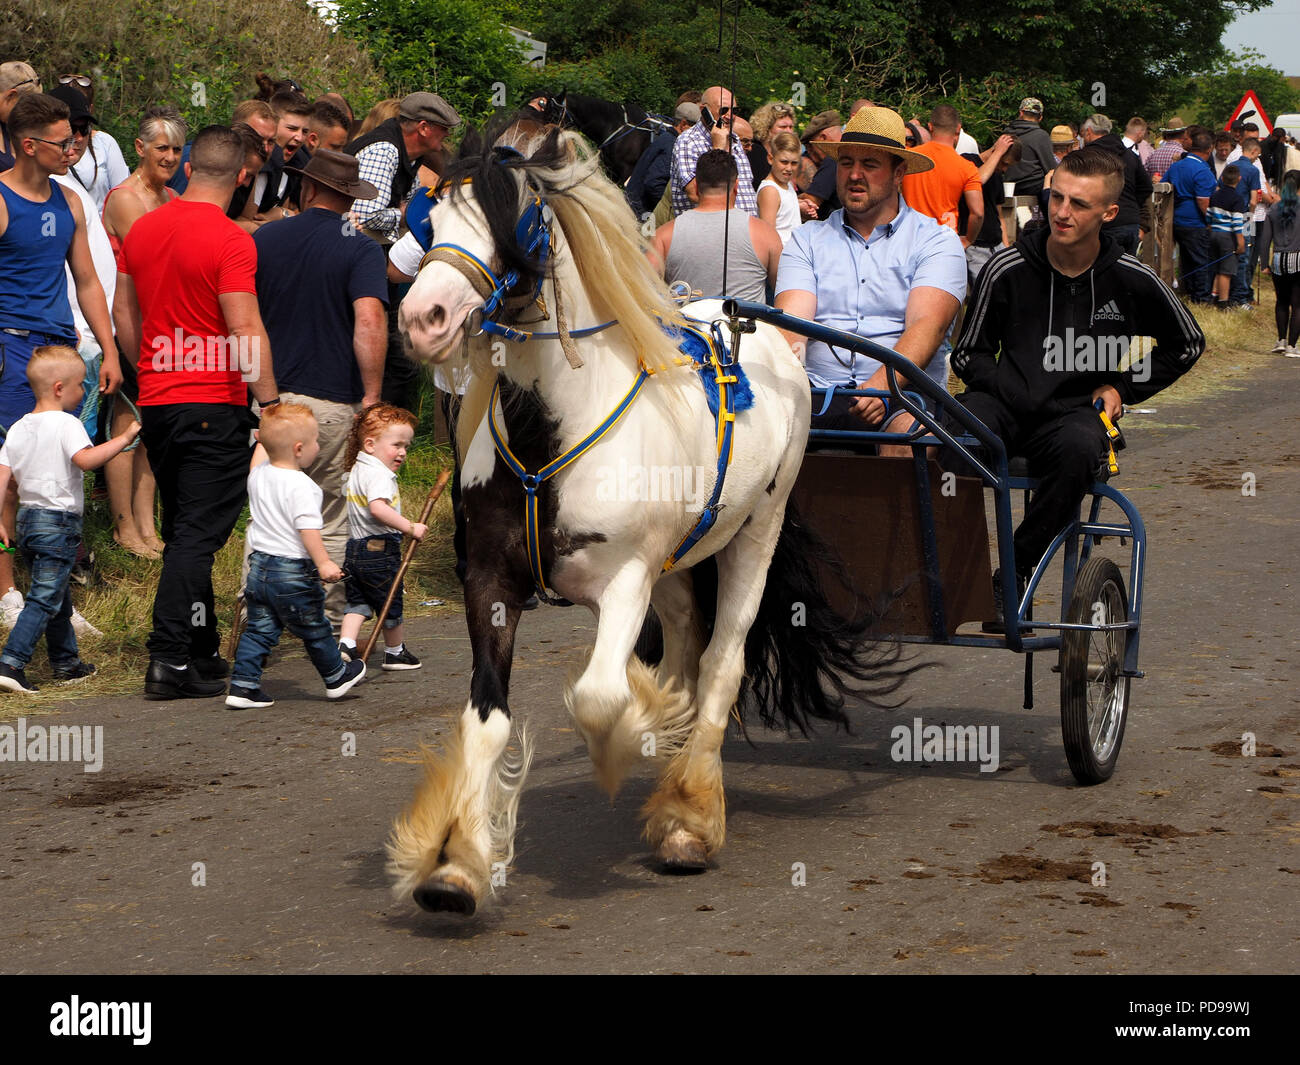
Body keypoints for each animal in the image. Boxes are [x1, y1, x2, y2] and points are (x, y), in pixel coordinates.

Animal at [389, 122, 906, 915]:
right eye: (431, 220)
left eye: (519, 222)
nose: (424, 318)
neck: (550, 436)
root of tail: (765, 337)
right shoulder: (492, 581)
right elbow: (486, 720)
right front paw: (455, 864)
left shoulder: (624, 579)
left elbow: (601, 698)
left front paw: (638, 734)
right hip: (680, 557)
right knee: (691, 641)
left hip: (754, 535)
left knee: (722, 660)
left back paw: (689, 813)